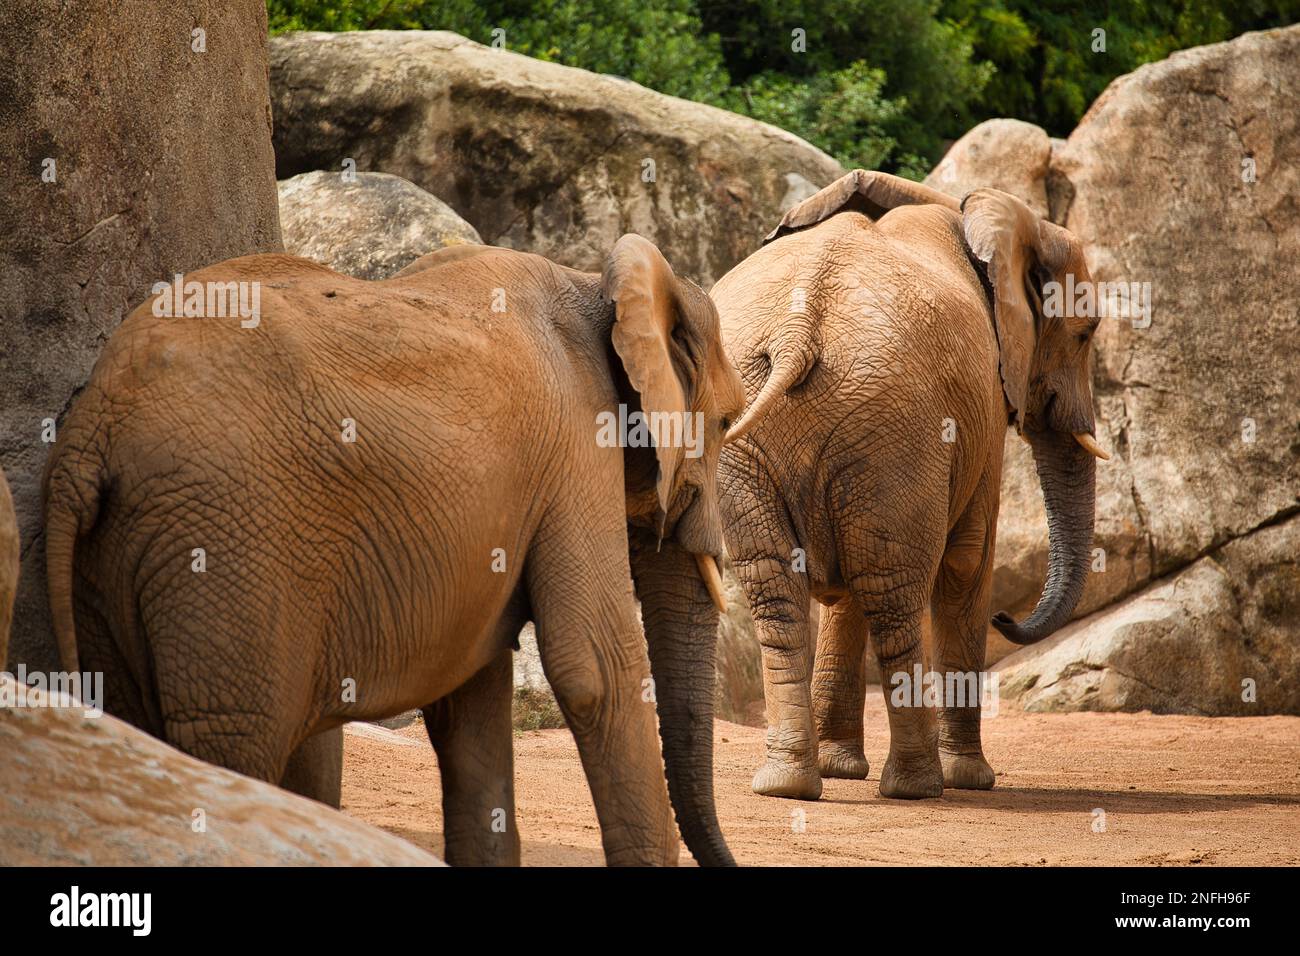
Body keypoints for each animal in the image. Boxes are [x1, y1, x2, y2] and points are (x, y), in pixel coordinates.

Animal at [42, 236, 747, 866]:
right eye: (724, 423)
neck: (596, 283)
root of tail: (91, 431)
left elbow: (471, 693)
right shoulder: (576, 443)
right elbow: (595, 668)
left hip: (122, 555)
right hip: (221, 548)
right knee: (237, 742)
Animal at [712, 170, 1106, 801]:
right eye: (1086, 334)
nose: (1007, 620)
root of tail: (799, 329)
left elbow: (845, 585)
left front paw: (840, 768)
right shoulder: (984, 407)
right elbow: (969, 559)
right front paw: (972, 779)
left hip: (764, 427)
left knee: (782, 588)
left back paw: (787, 785)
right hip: (899, 425)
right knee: (893, 591)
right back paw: (919, 785)